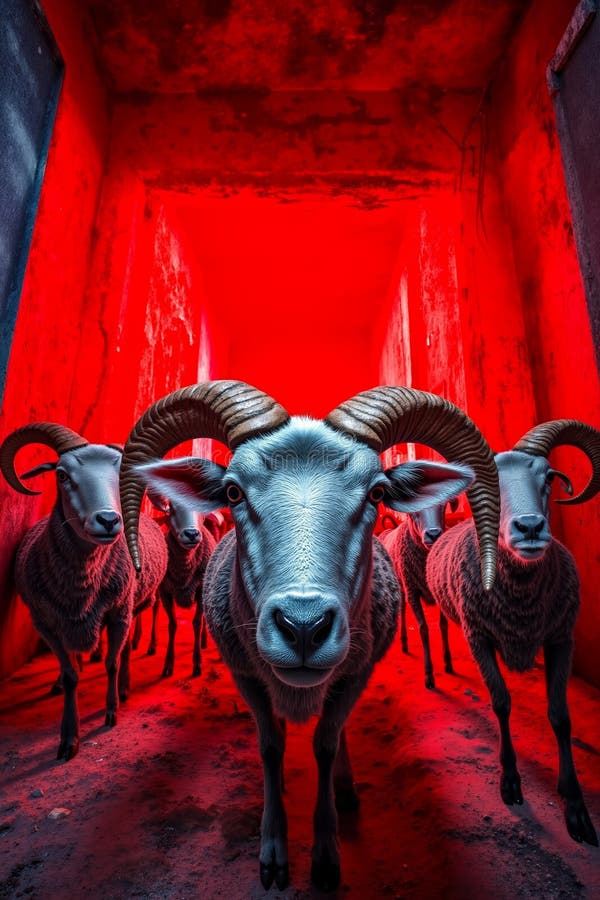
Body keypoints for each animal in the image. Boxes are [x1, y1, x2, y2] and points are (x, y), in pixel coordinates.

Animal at [0, 422, 167, 761]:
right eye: (62, 475)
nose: (108, 520)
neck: (82, 582)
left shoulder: (119, 614)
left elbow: (113, 662)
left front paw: (111, 711)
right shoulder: (46, 623)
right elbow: (70, 676)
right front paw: (69, 737)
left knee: (124, 650)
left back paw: (124, 686)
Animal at [148, 488, 217, 677]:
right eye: (172, 508)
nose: (191, 534)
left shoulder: (200, 589)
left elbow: (197, 622)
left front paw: (197, 663)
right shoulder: (166, 591)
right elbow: (172, 624)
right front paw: (168, 664)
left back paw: (204, 640)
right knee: (155, 608)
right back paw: (152, 645)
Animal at [379, 498, 458, 689]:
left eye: (444, 505)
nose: (433, 534)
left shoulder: (438, 590)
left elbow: (443, 625)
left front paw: (448, 662)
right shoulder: (413, 592)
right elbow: (423, 628)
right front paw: (429, 675)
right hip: (402, 586)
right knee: (401, 610)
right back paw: (403, 642)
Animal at [426, 419, 600, 847]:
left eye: (548, 478)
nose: (530, 527)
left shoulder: (561, 638)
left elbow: (560, 717)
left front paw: (575, 807)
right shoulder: (478, 638)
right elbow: (501, 703)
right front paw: (510, 782)